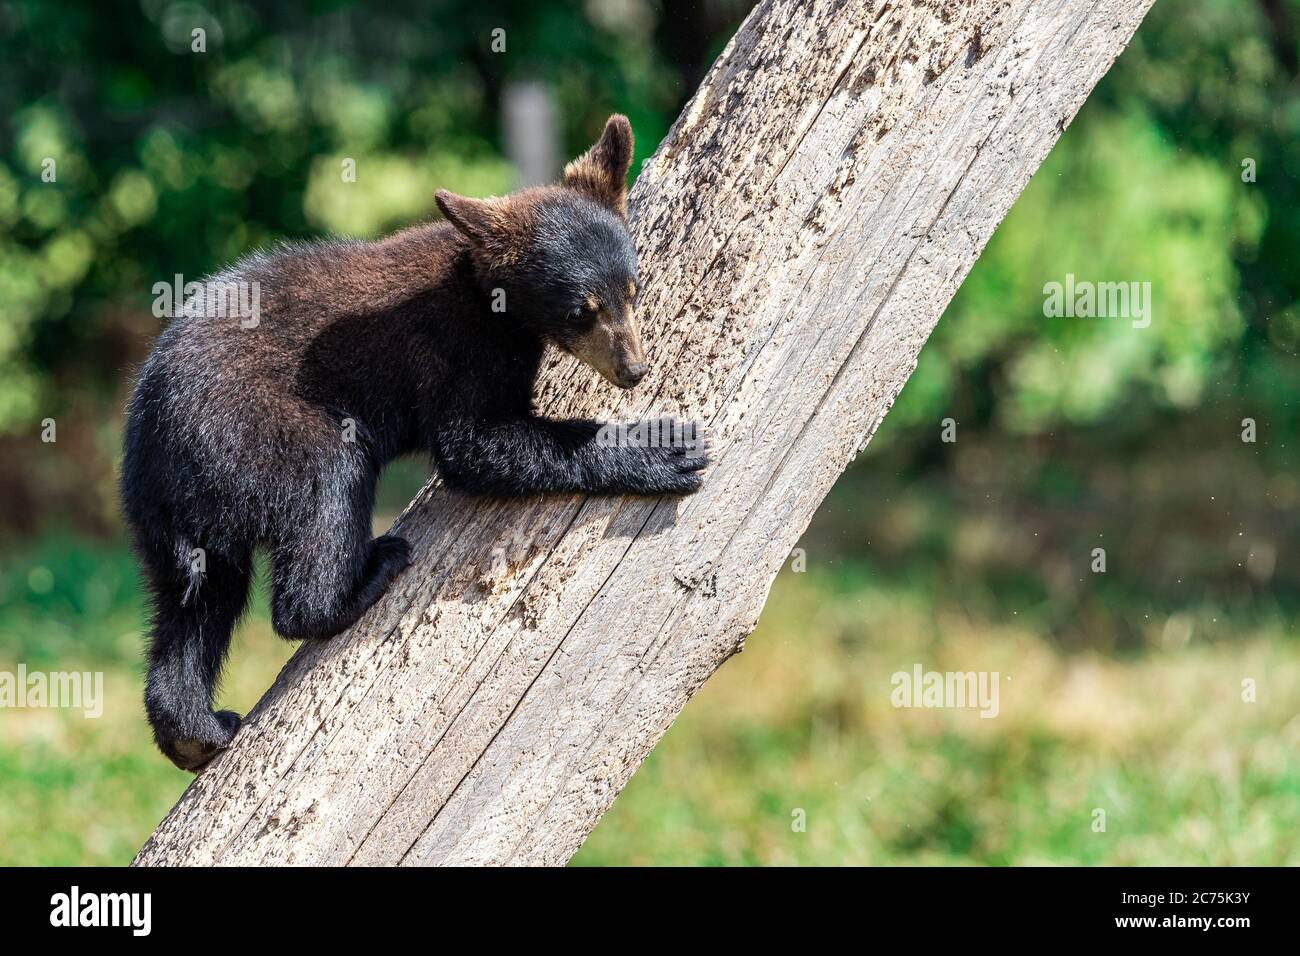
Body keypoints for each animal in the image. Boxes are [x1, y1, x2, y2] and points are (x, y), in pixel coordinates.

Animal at [120, 115, 708, 771]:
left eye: (632, 290)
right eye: (581, 310)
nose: (633, 369)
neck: (489, 296)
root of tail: (154, 430)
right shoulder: (459, 350)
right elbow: (475, 445)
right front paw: (664, 448)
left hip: (167, 513)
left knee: (193, 598)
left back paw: (193, 731)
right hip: (256, 429)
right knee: (327, 486)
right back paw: (367, 573)